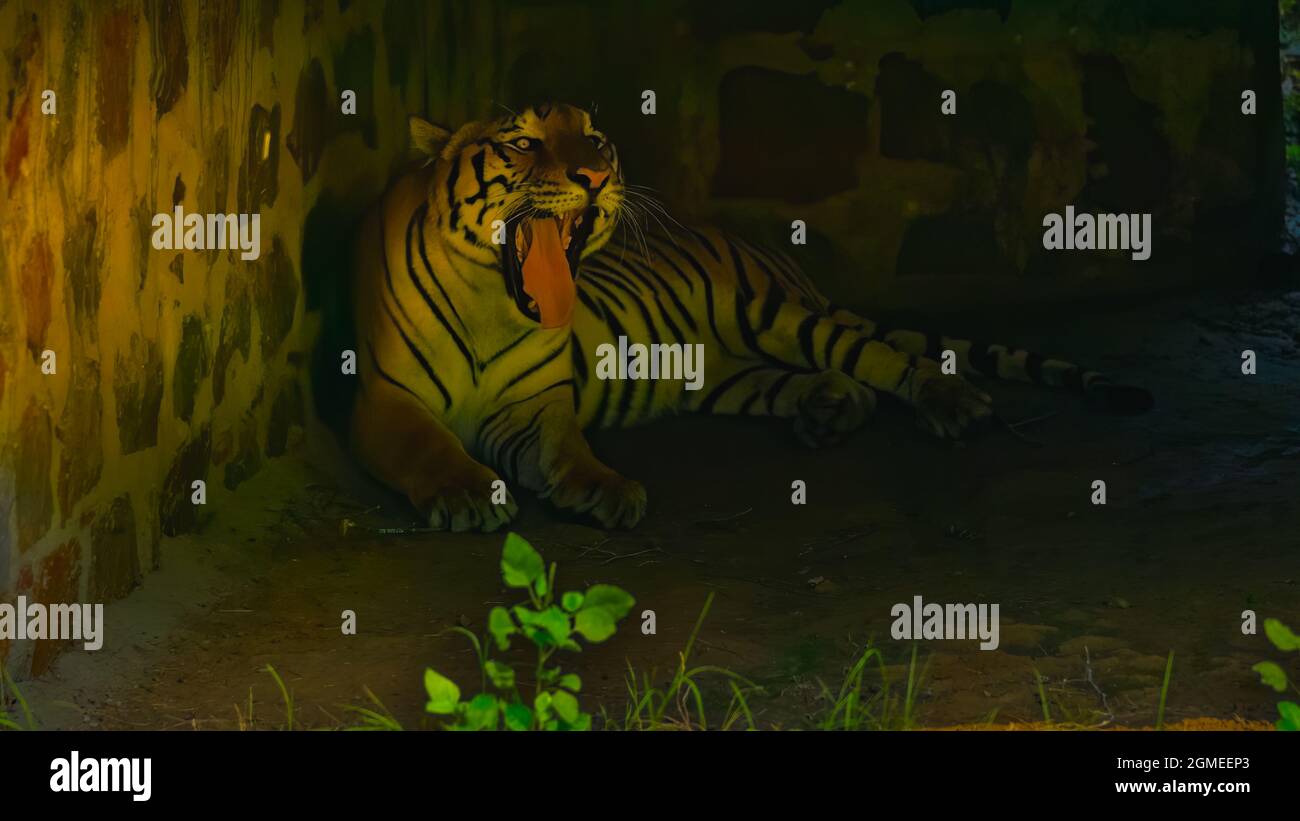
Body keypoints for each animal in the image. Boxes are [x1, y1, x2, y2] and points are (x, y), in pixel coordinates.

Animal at [349, 102, 1152, 532]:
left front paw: (606, 488)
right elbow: (429, 447)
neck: (493, 302)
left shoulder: (538, 405)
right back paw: (827, 413)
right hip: (724, 373)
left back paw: (952, 404)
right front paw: (466, 493)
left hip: (778, 315)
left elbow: (570, 448)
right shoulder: (386, 400)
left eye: (595, 137)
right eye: (522, 142)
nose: (599, 170)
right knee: (828, 382)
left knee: (889, 358)